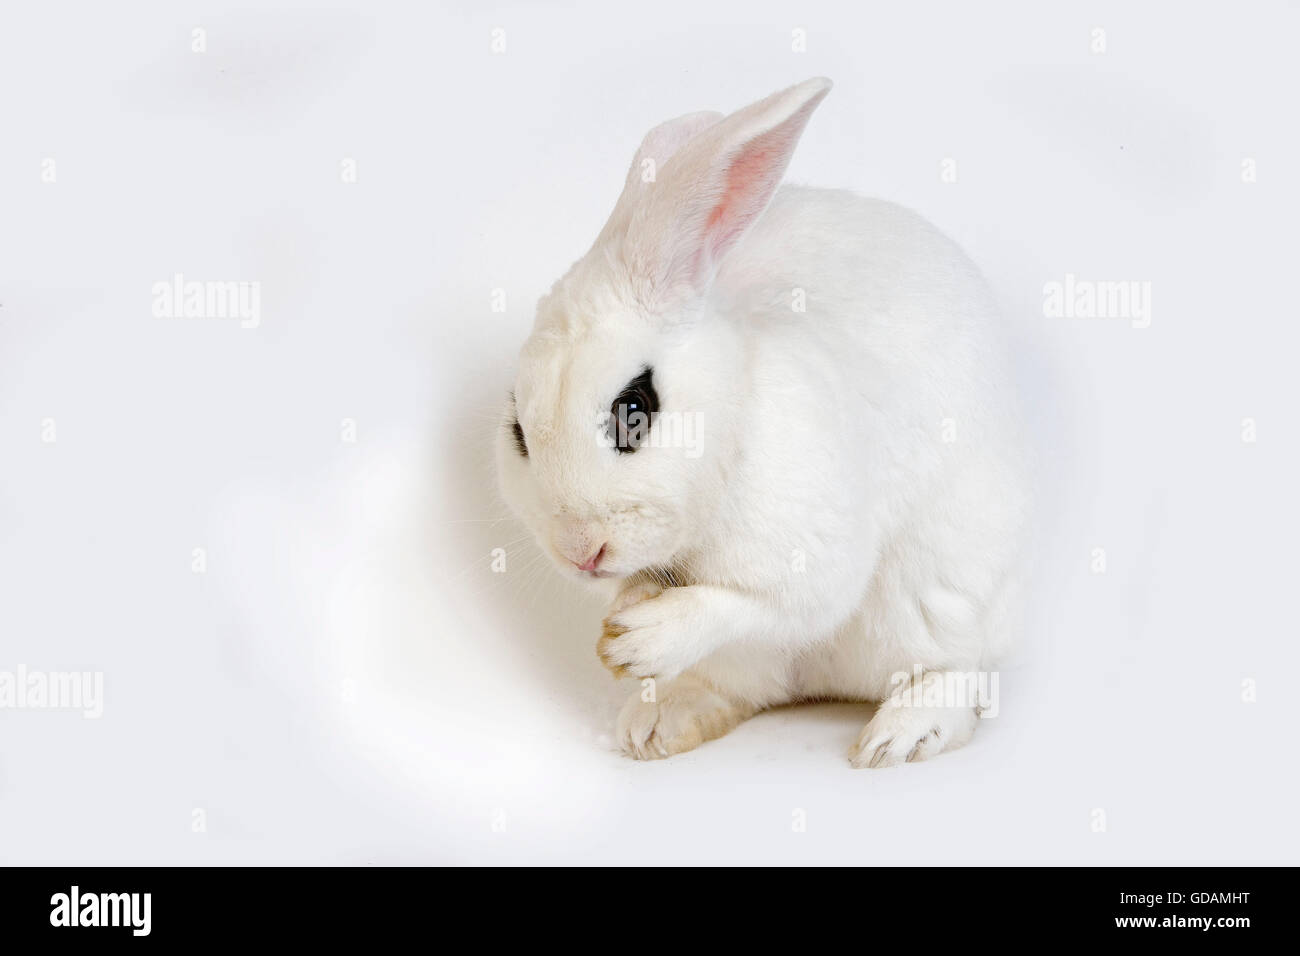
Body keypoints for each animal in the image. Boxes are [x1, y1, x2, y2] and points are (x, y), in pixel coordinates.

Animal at [496, 77, 1028, 768]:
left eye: (635, 409)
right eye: (517, 432)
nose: (581, 552)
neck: (738, 424)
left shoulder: (813, 561)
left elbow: (753, 606)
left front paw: (642, 639)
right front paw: (626, 625)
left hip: (939, 599)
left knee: (958, 675)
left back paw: (897, 737)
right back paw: (659, 723)